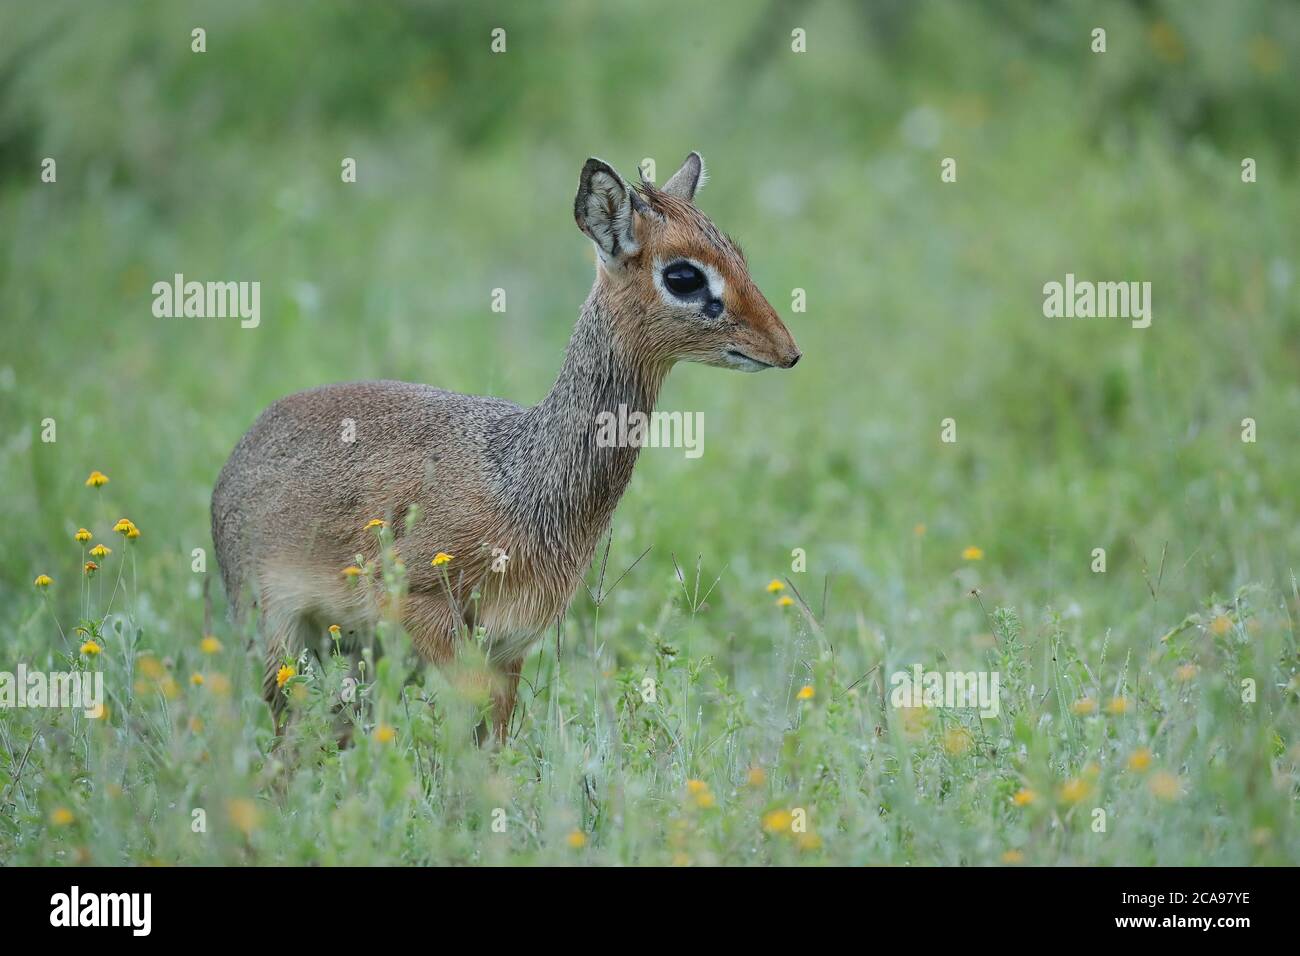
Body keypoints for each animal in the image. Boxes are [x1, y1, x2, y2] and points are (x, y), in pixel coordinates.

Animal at [210, 152, 801, 741]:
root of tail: (248, 442)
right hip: (282, 636)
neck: (521, 480)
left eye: (736, 252)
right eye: (683, 274)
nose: (787, 350)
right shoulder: (427, 612)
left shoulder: (510, 645)